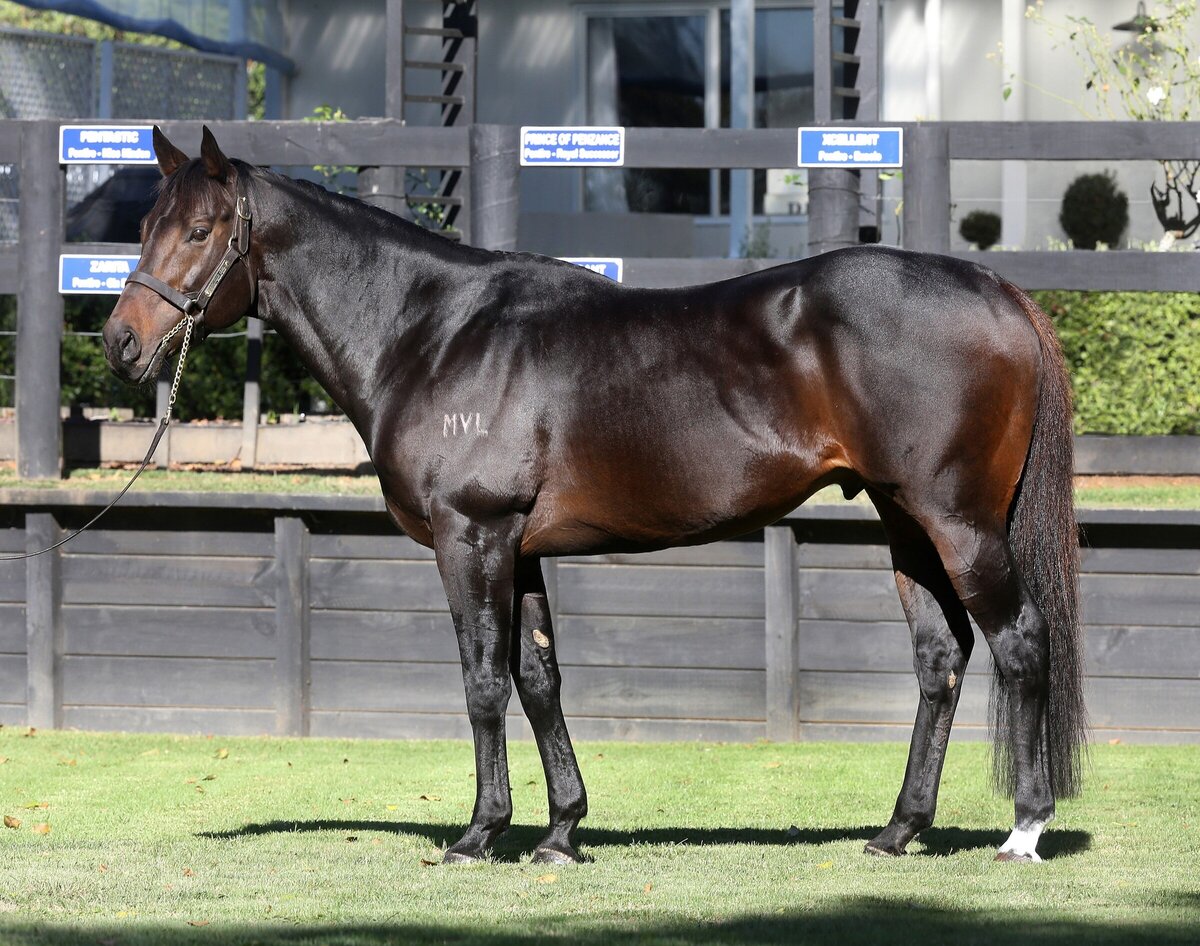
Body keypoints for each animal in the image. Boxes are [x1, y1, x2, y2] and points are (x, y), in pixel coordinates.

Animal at [101, 126, 1086, 866]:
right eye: (146, 221)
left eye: (200, 231)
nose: (120, 342)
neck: (432, 332)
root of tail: (996, 290)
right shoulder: (521, 547)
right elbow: (539, 680)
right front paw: (561, 832)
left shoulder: (473, 537)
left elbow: (483, 683)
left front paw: (479, 834)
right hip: (904, 521)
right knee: (941, 660)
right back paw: (897, 830)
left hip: (958, 522)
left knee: (1020, 642)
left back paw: (1025, 827)